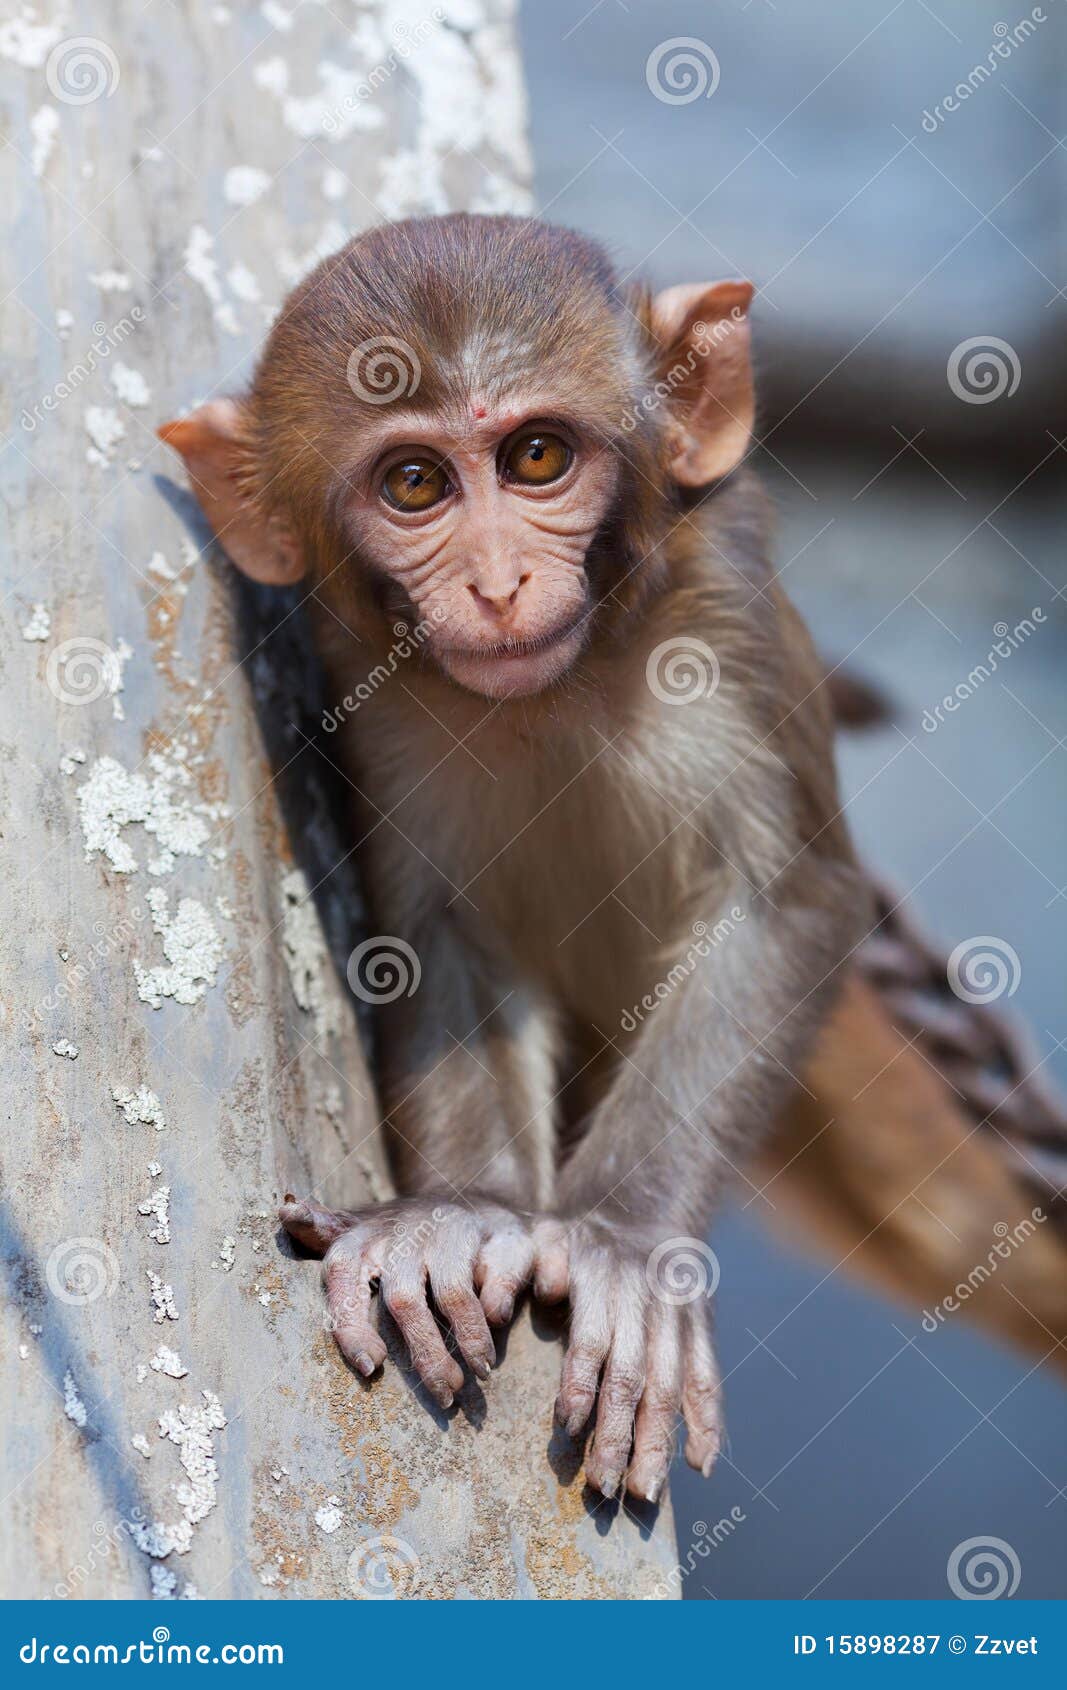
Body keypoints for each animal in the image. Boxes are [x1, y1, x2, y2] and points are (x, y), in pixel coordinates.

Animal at [160, 212, 869, 1506]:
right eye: (415, 483)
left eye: (536, 457)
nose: (494, 584)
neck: (566, 680)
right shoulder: (375, 693)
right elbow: (430, 931)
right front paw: (458, 1214)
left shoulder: (727, 607)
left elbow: (788, 904)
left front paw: (624, 1245)